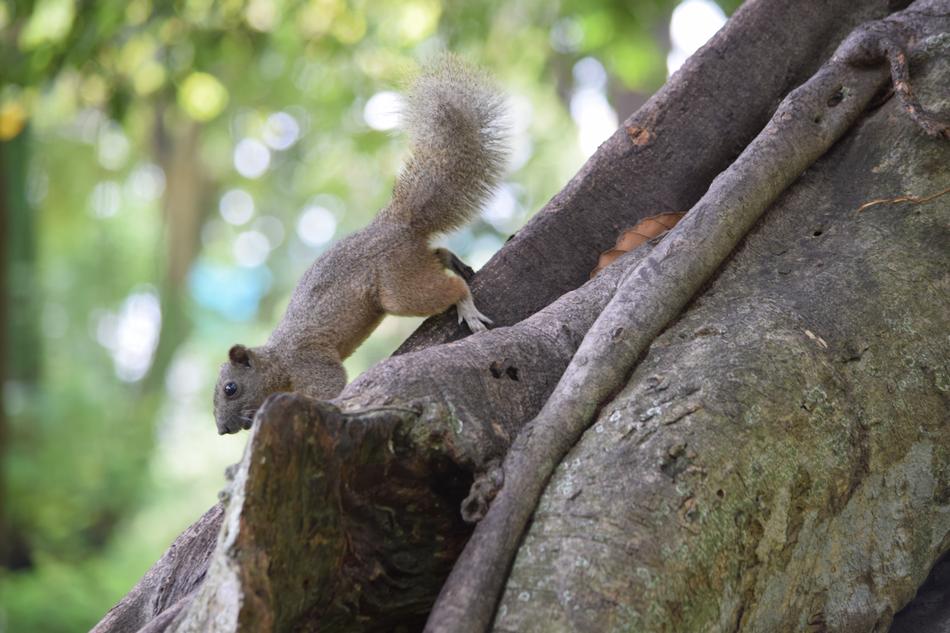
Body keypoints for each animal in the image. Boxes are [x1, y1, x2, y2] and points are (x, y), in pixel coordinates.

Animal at [213, 57, 509, 434]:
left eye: (231, 388)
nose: (222, 430)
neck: (277, 362)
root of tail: (393, 224)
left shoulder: (310, 363)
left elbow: (331, 388)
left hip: (397, 285)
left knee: (449, 287)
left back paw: (466, 306)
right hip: (409, 264)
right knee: (436, 255)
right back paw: (454, 261)